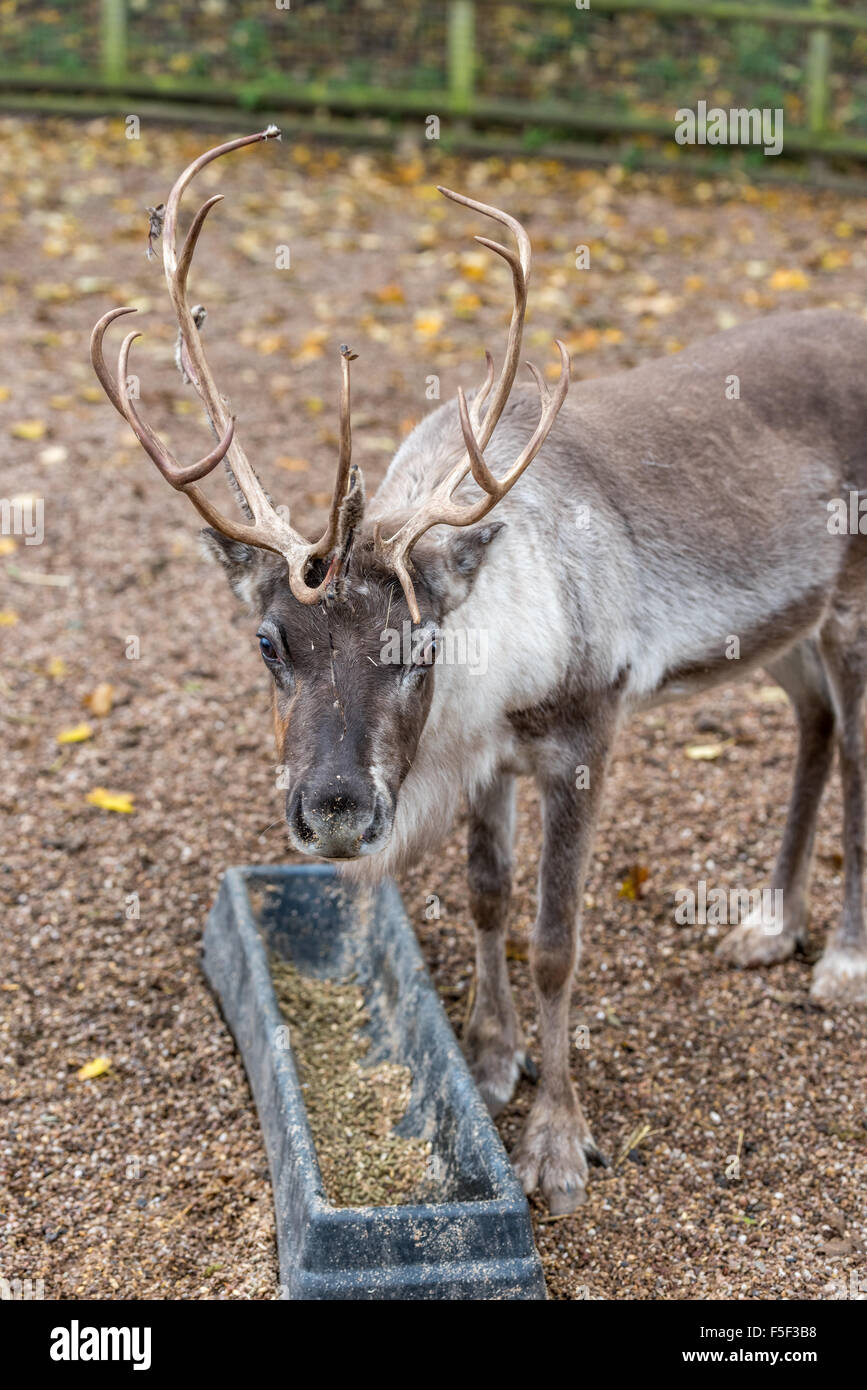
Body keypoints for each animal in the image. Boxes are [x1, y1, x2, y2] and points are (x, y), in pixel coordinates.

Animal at [92, 127, 867, 1216]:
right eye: (267, 641)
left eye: (418, 645)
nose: (334, 809)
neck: (489, 687)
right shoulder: (490, 757)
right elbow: (487, 894)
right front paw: (494, 1060)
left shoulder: (585, 734)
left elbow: (554, 938)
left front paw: (556, 1142)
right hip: (786, 630)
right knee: (816, 723)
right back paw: (768, 923)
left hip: (851, 605)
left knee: (859, 752)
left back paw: (839, 959)